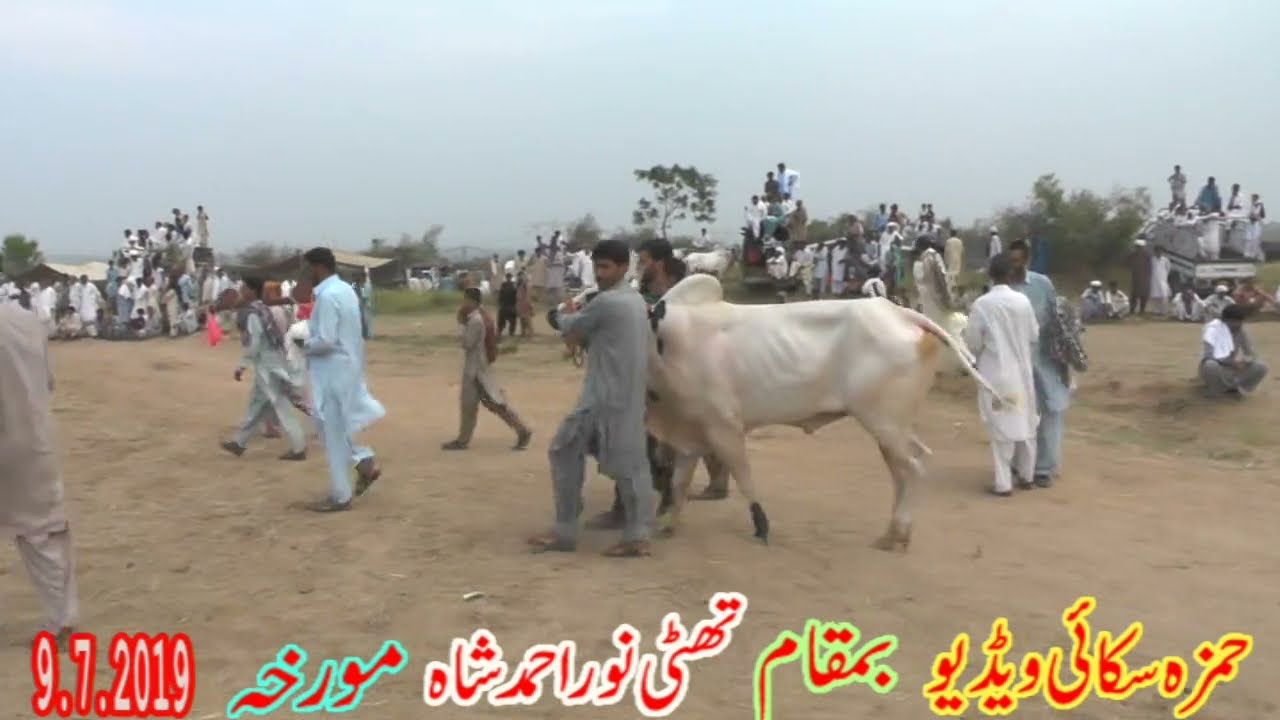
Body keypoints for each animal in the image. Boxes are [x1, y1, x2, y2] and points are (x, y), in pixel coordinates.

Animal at [644, 274, 1004, 551]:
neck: (666, 340)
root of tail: (900, 313)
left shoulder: (724, 427)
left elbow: (745, 479)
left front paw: (762, 527)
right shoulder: (689, 434)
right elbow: (678, 484)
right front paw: (668, 525)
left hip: (882, 422)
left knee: (912, 468)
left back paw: (898, 534)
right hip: (893, 427)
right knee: (905, 467)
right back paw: (892, 535)